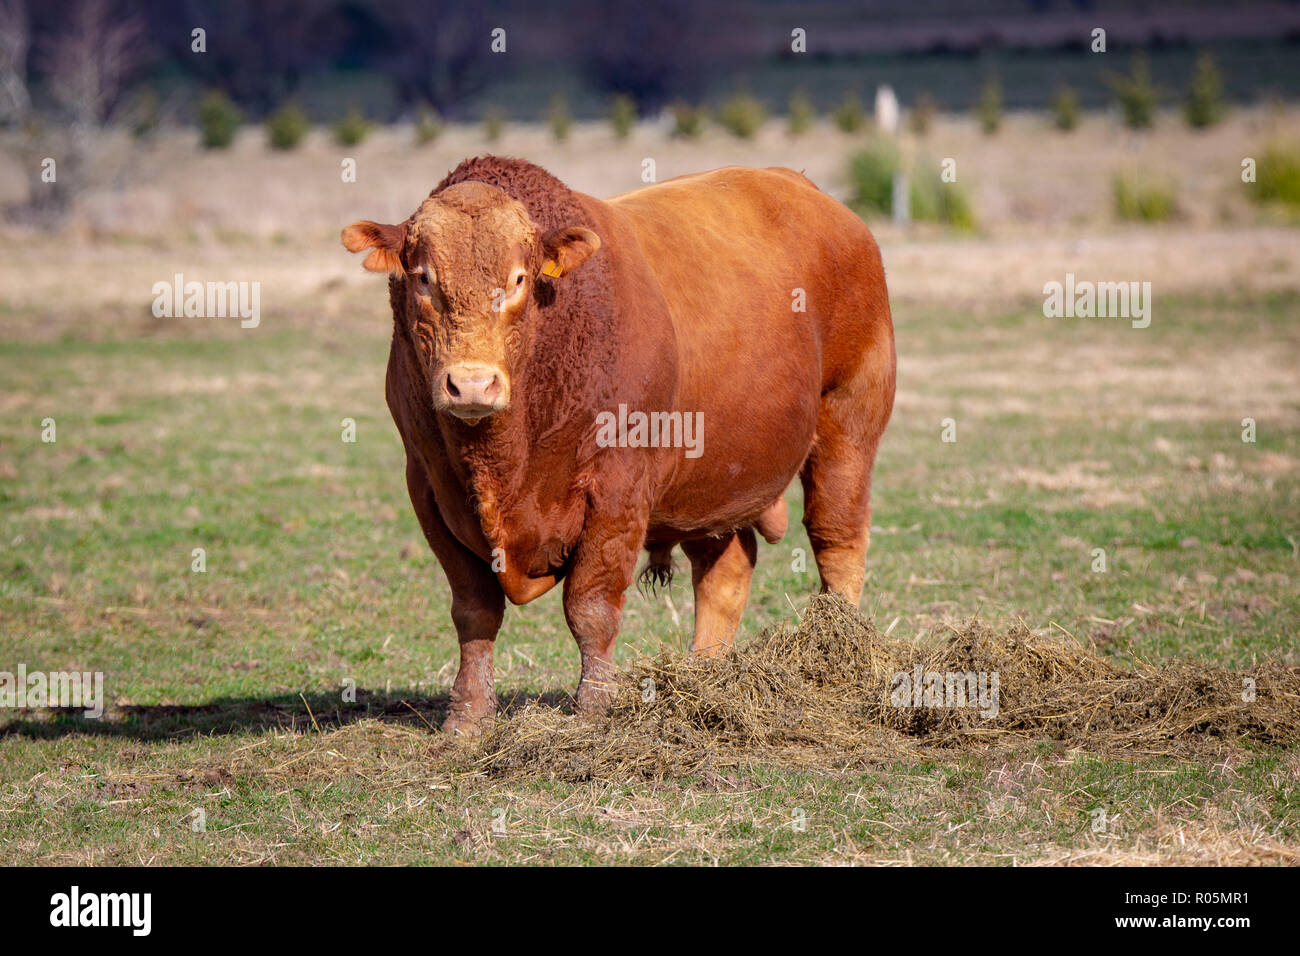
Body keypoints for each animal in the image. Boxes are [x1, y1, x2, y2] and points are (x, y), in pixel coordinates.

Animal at [342, 156, 895, 735]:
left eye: (518, 279)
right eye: (423, 278)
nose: (472, 384)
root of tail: (804, 187)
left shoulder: (618, 489)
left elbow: (590, 605)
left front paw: (594, 707)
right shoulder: (429, 486)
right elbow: (474, 609)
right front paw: (467, 718)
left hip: (849, 422)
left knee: (838, 542)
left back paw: (840, 656)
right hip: (714, 476)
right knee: (723, 571)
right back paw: (704, 675)